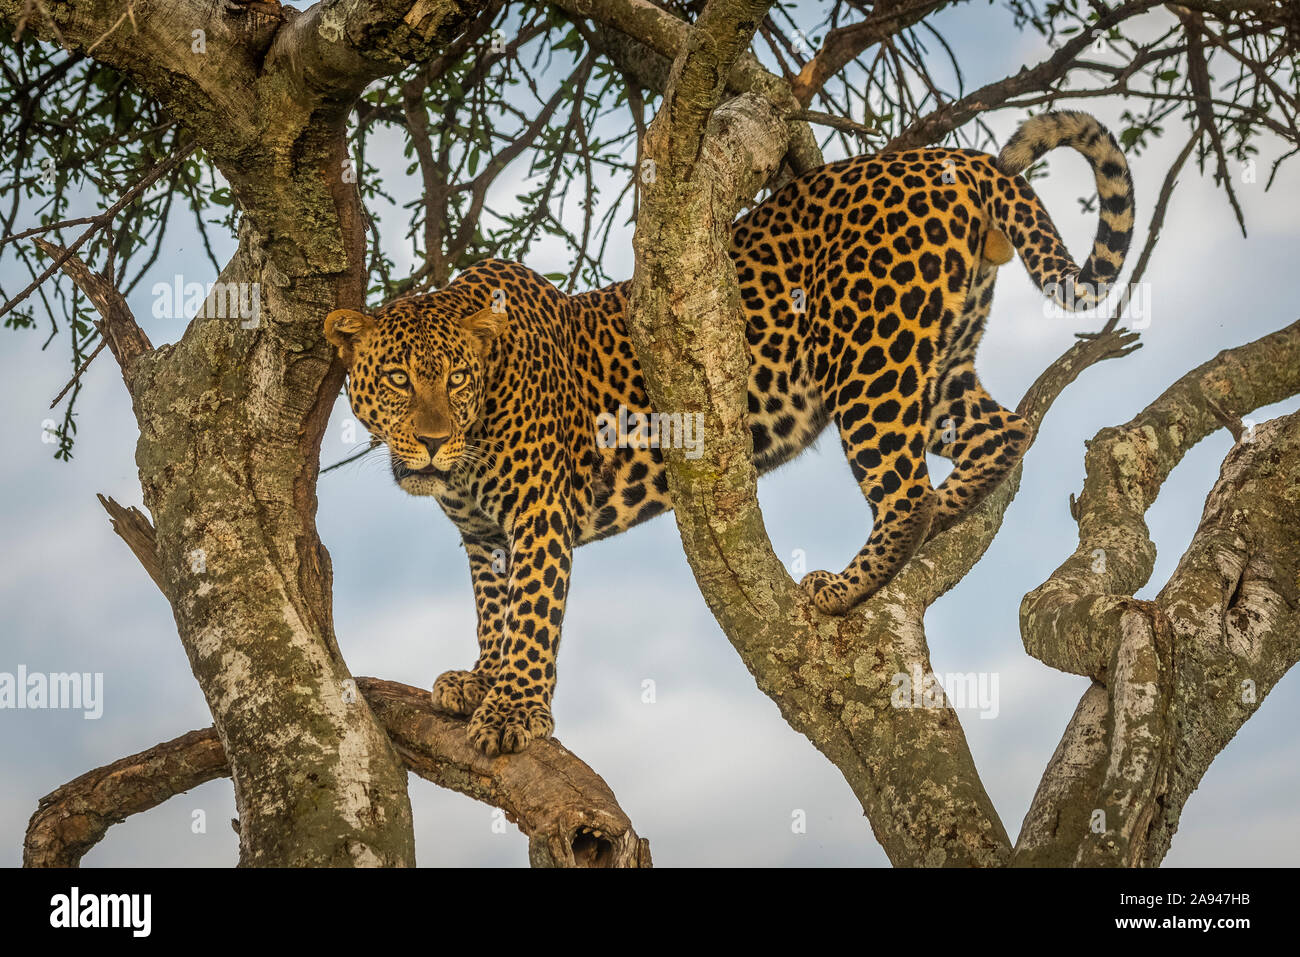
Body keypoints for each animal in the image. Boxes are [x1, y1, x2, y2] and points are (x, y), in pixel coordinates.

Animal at [325, 110, 1134, 755]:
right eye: (396, 380)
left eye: (457, 379)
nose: (432, 441)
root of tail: (947, 159)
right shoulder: (483, 535)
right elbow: (493, 610)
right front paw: (482, 679)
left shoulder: (538, 513)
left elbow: (530, 613)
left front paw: (514, 710)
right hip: (938, 364)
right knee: (1002, 431)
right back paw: (947, 517)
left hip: (869, 360)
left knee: (907, 491)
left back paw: (842, 587)